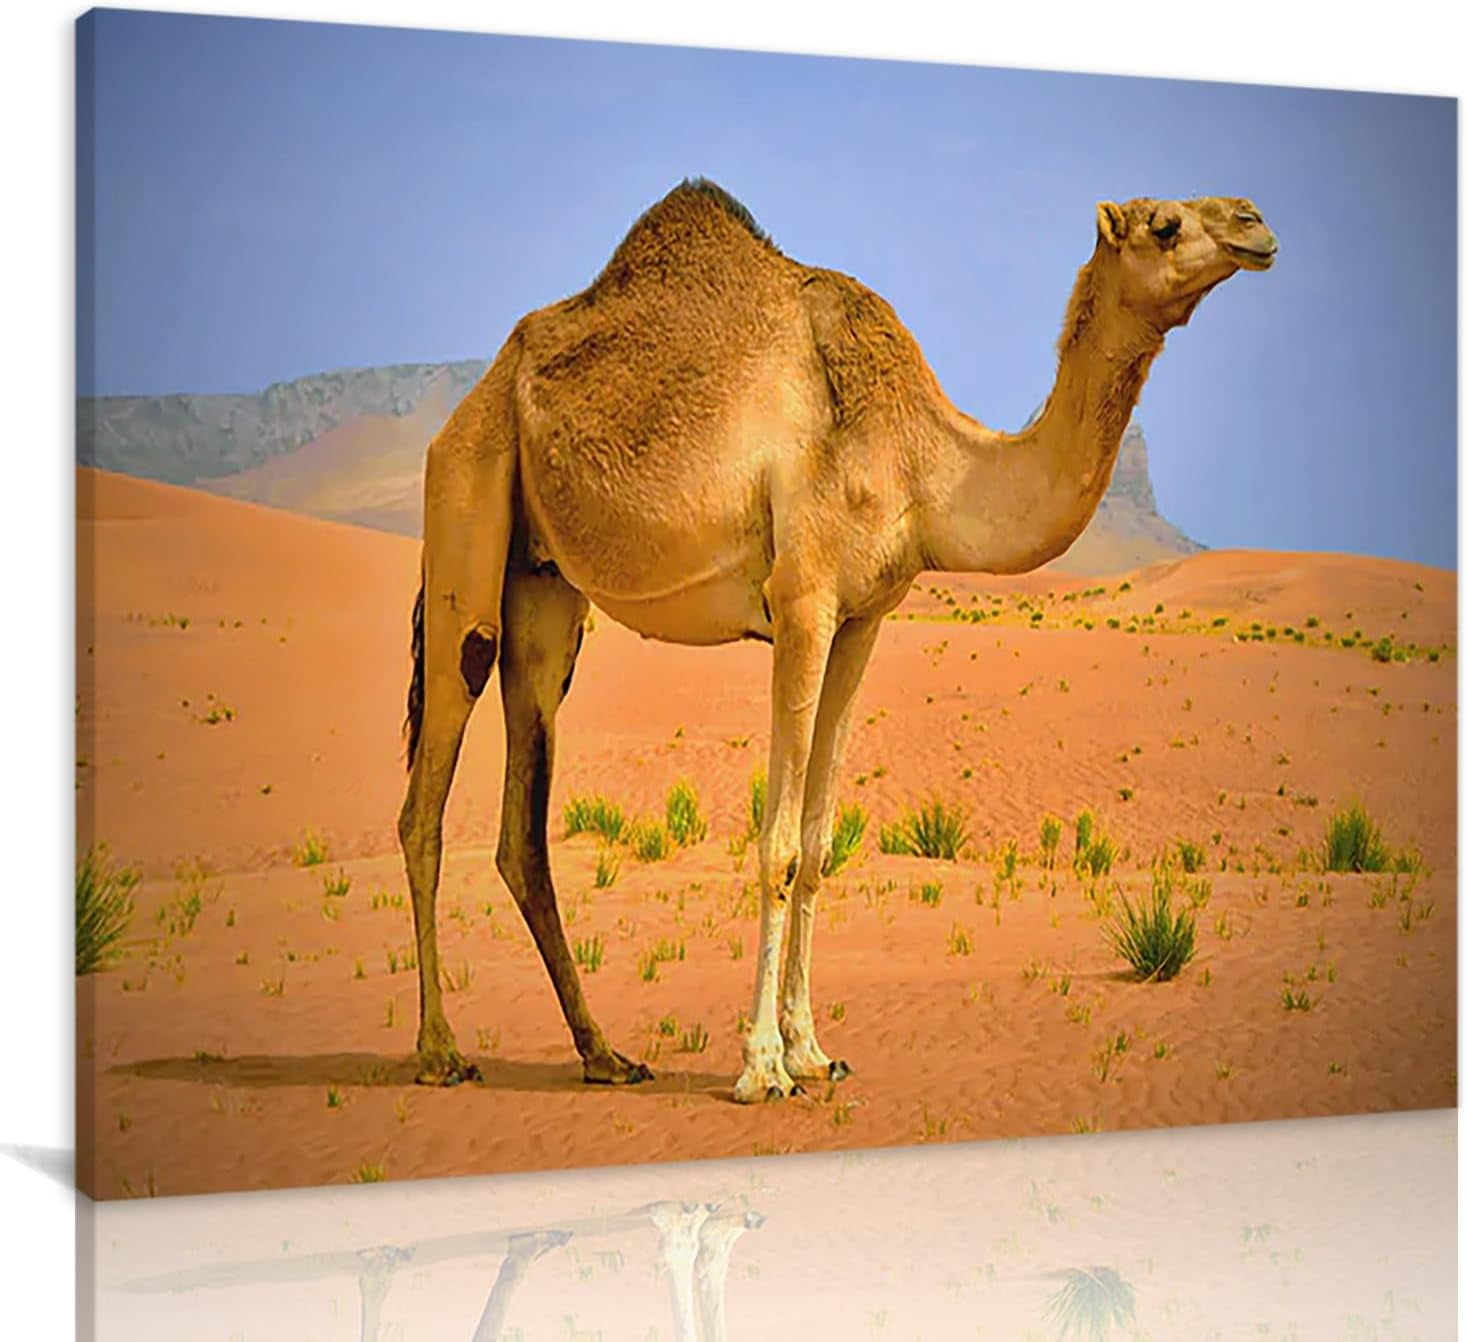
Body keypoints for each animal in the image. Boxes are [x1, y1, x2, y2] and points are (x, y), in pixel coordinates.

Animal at [397, 177, 1277, 1103]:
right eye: (1165, 224)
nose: (1255, 223)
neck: (925, 463)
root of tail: (480, 391)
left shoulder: (864, 619)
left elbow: (819, 846)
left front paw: (814, 1051)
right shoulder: (803, 603)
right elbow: (778, 845)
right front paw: (761, 1068)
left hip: (544, 588)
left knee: (522, 826)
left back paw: (604, 1054)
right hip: (468, 492)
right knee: (429, 790)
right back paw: (439, 1051)